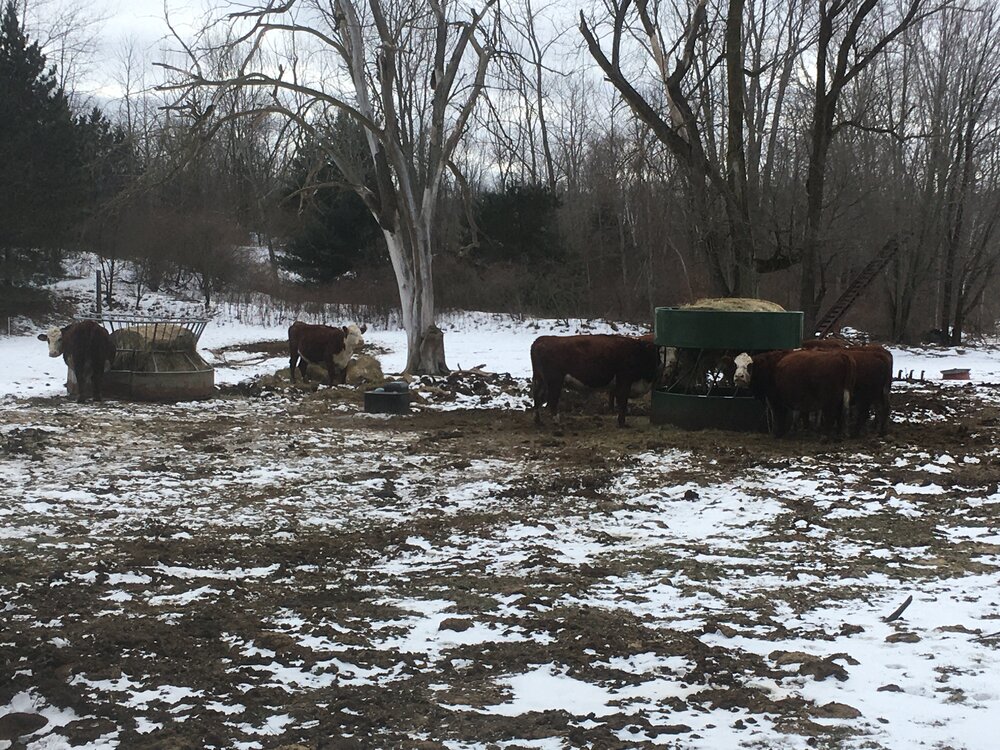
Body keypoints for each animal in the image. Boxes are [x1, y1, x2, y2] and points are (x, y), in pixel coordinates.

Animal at [530, 334, 663, 427]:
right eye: (656, 353)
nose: (662, 365)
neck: (638, 351)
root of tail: (540, 340)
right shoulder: (624, 381)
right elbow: (622, 402)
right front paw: (622, 423)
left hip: (540, 381)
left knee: (537, 398)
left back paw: (538, 421)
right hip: (554, 382)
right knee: (551, 401)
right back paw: (557, 422)